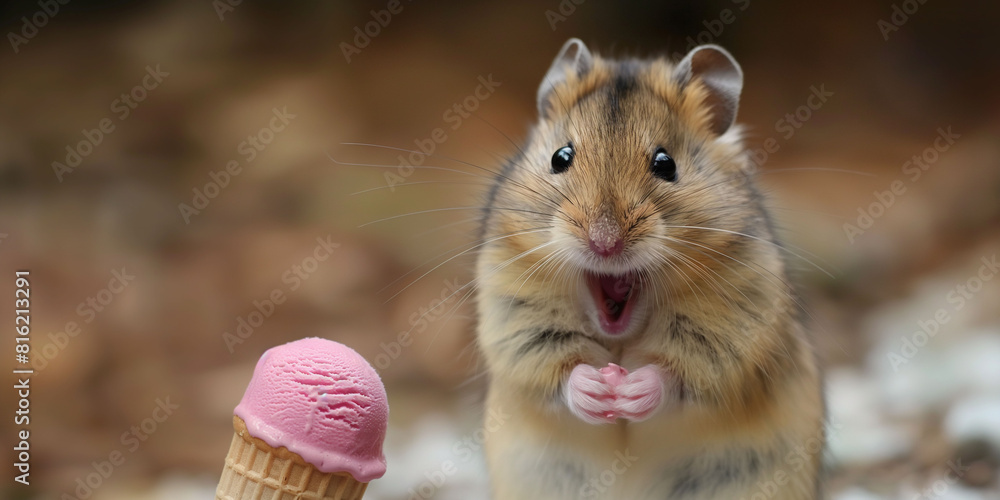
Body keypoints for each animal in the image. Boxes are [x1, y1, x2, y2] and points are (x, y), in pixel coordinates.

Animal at [475, 39, 825, 500]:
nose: (604, 243)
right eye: (560, 157)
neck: (621, 336)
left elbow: (676, 374)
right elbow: (558, 369)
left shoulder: (733, 333)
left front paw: (628, 390)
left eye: (665, 164)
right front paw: (599, 388)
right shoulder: (514, 317)